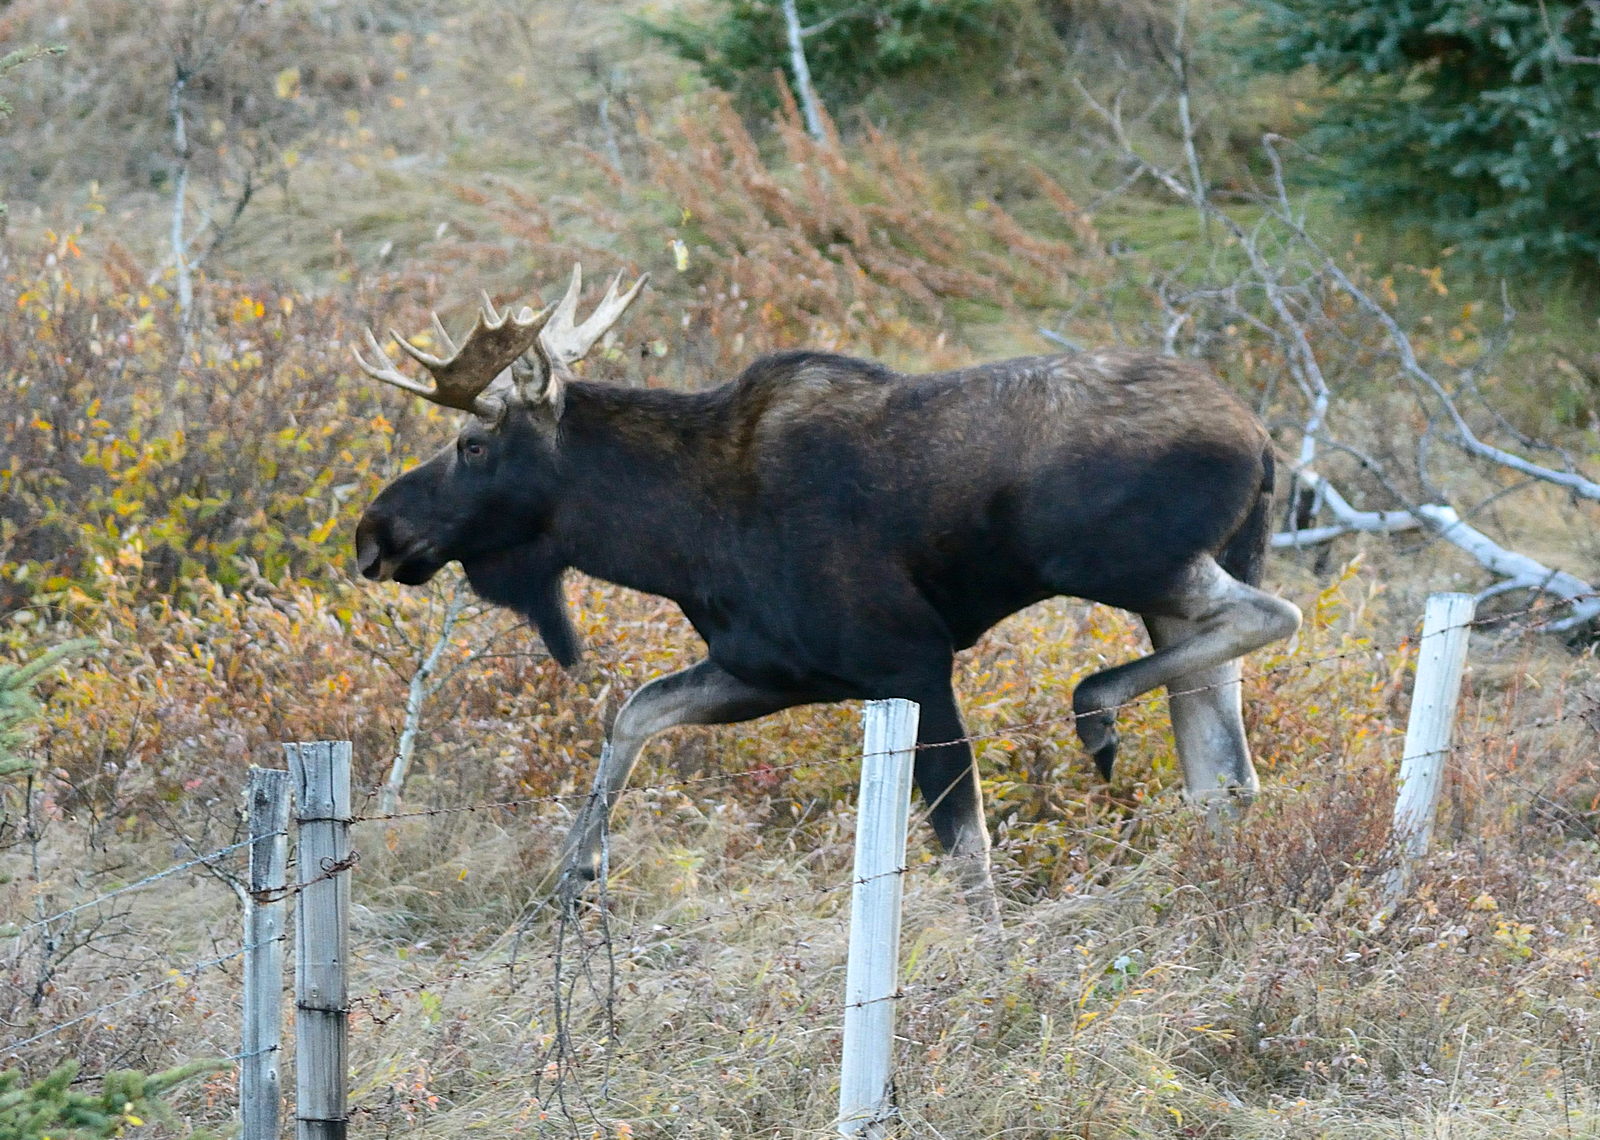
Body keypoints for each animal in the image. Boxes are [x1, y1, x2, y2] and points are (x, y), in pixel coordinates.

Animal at [352, 265, 1302, 914]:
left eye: (474, 446)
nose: (375, 533)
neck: (676, 538)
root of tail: (1262, 441)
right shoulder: (773, 670)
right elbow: (635, 711)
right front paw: (577, 874)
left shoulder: (912, 663)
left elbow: (967, 851)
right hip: (1172, 589)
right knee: (1223, 773)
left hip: (1120, 561)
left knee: (1270, 616)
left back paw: (1095, 708)